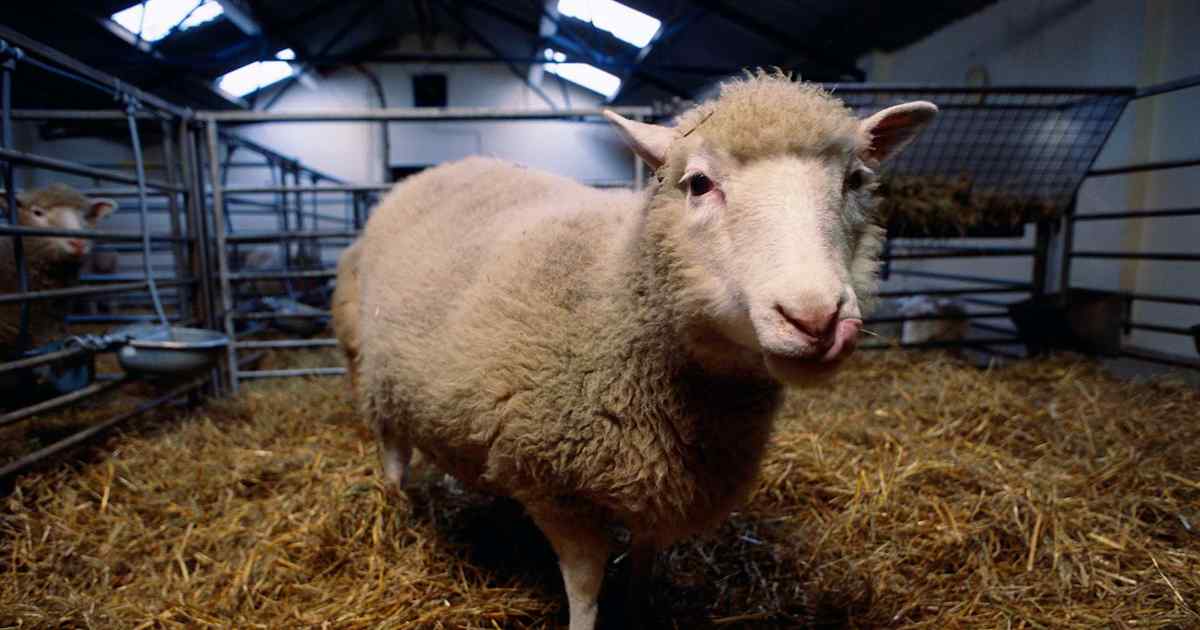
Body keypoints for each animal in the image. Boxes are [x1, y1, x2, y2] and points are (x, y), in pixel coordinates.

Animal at [343, 72, 936, 630]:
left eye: (855, 181)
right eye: (699, 184)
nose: (816, 318)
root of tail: (436, 169)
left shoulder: (662, 482)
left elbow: (646, 560)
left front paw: (639, 608)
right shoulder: (556, 487)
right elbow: (585, 587)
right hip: (375, 375)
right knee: (393, 453)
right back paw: (398, 511)